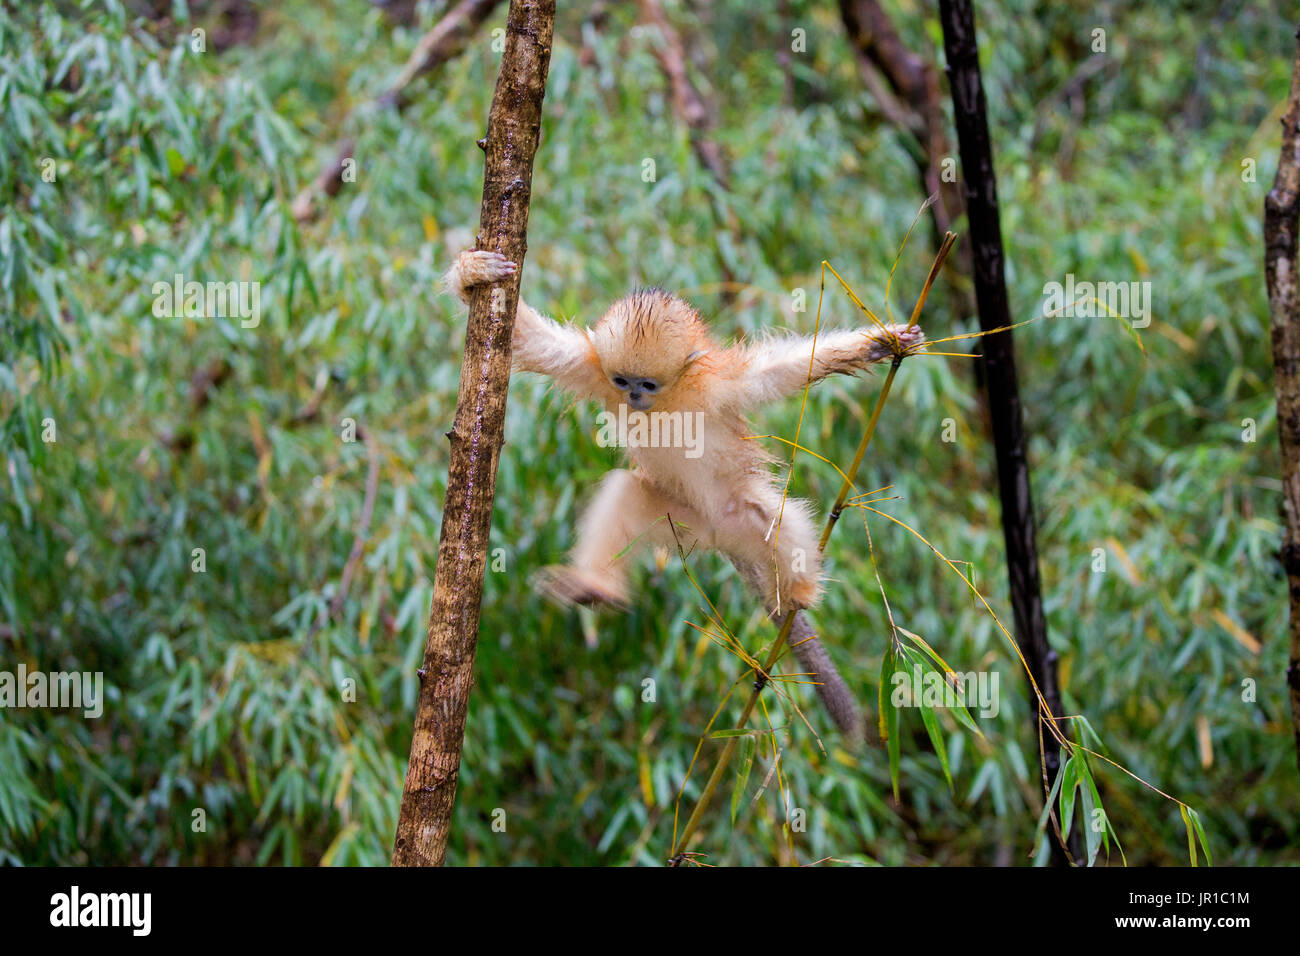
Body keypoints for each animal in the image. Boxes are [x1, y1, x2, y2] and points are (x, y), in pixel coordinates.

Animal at [445, 249, 924, 738]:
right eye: (623, 382)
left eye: (649, 384)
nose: (635, 397)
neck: (669, 400)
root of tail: (717, 536)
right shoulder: (591, 367)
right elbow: (530, 341)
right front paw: (475, 272)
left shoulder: (720, 385)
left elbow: (787, 371)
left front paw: (880, 343)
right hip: (678, 521)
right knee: (625, 491)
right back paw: (594, 589)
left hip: (738, 518)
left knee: (778, 515)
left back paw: (800, 593)